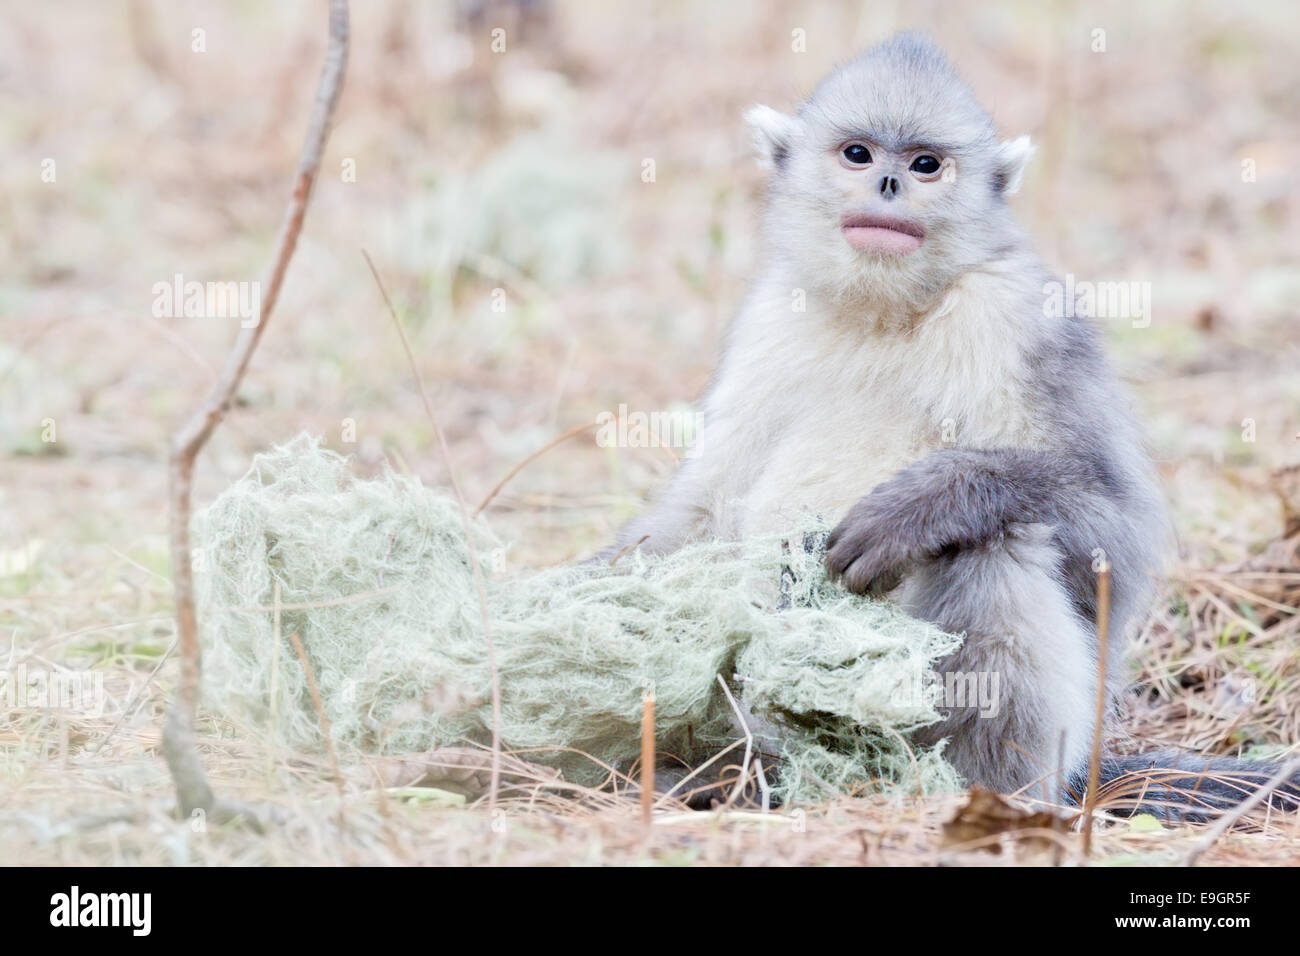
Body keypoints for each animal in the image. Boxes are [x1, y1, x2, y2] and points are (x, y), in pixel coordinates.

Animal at [603, 33, 1299, 818]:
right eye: (859, 154)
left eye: (926, 164)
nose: (888, 186)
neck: (883, 312)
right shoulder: (769, 321)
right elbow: (704, 509)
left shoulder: (1020, 314)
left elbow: (1120, 533)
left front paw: (922, 505)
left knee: (992, 545)